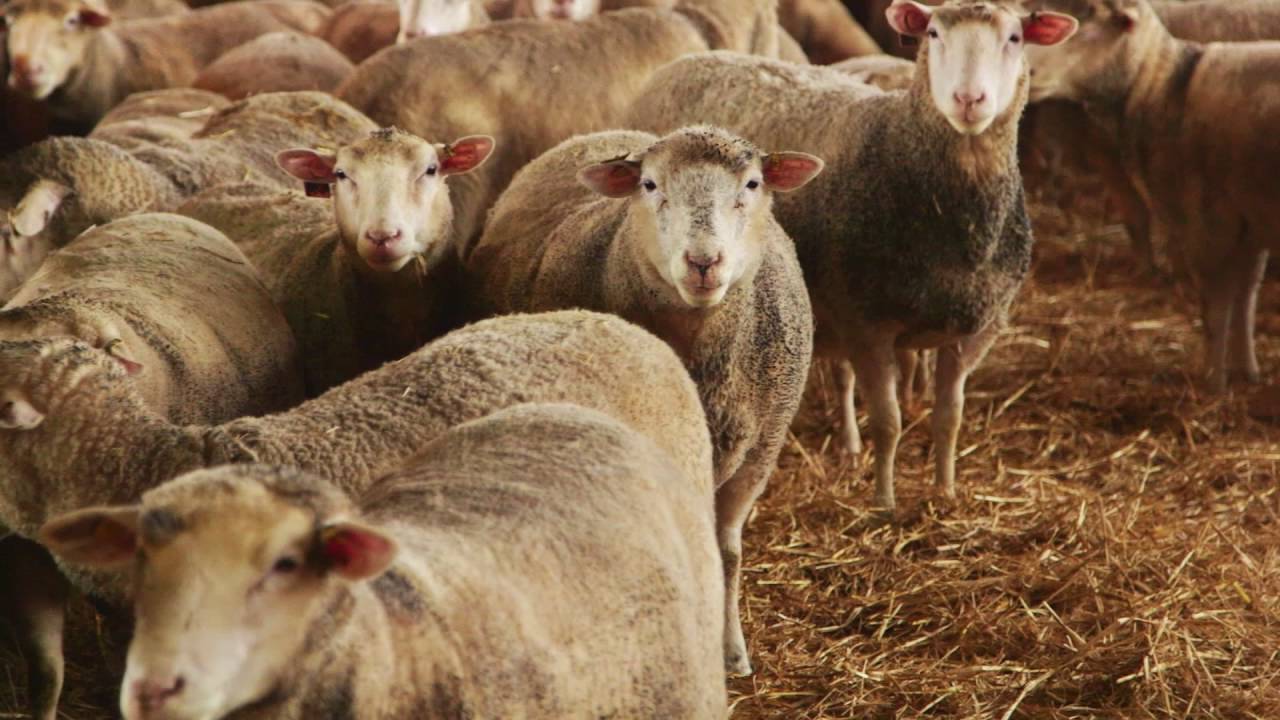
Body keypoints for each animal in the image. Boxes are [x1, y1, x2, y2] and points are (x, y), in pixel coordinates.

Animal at [470, 126, 821, 674]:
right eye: (651, 184)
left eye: (753, 183)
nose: (703, 262)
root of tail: (608, 133)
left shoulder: (760, 452)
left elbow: (727, 553)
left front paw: (732, 652)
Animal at [627, 0, 1079, 510]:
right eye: (934, 34)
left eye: (1015, 38)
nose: (969, 99)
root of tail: (690, 61)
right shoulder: (869, 323)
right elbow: (888, 422)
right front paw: (884, 500)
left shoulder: (974, 330)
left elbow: (950, 417)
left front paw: (945, 490)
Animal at [1025, 0, 1280, 391]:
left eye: (1088, 23)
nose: (1028, 74)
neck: (1162, 85)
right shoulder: (1247, 222)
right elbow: (1245, 299)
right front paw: (1247, 371)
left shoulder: (1209, 221)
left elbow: (1216, 304)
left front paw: (1213, 381)